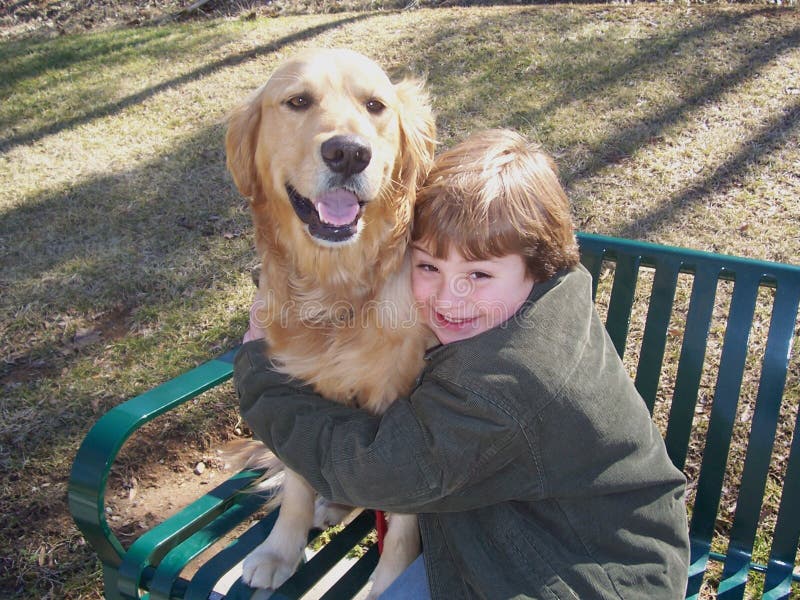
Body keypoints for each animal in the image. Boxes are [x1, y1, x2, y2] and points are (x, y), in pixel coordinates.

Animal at [225, 49, 438, 596]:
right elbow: (298, 477)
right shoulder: (302, 387)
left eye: (375, 105)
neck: (338, 287)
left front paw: (390, 582)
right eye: (298, 102)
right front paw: (279, 550)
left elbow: (403, 520)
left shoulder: (404, 400)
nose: (347, 153)